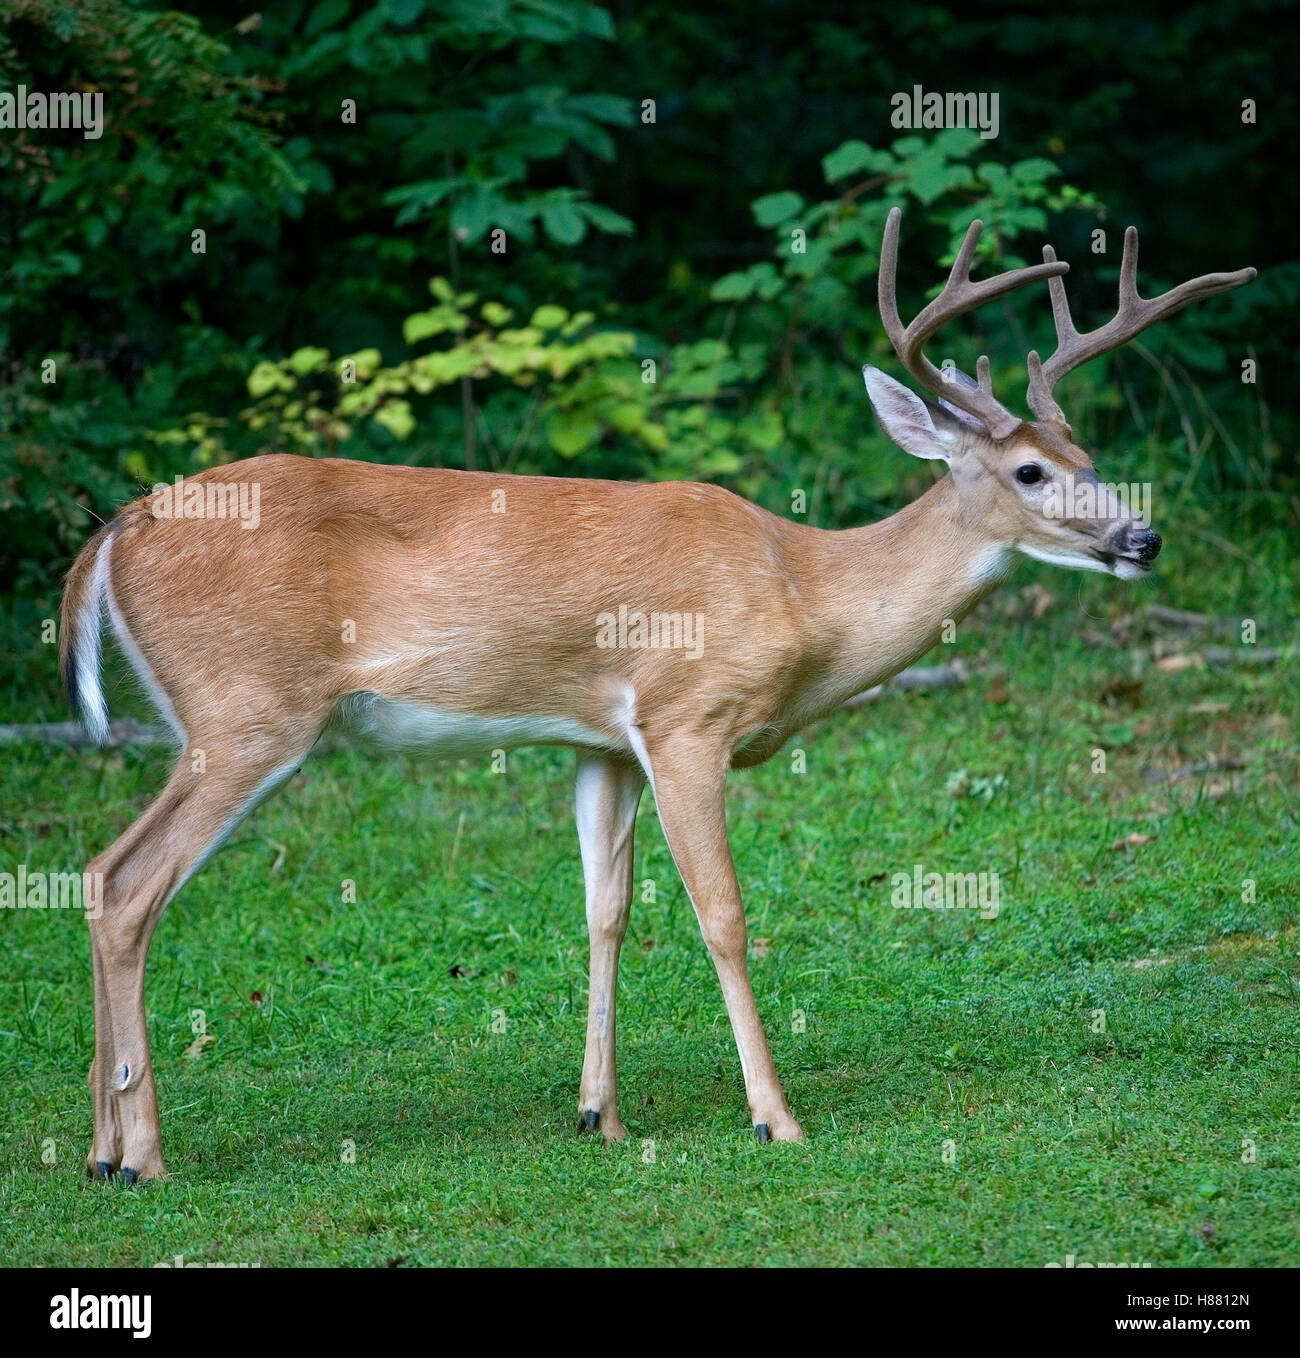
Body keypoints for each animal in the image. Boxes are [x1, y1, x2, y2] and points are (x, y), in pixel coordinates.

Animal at [60, 208, 1254, 1182]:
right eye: (1029, 473)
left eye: (1085, 450)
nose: (1142, 537)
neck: (801, 588)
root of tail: (111, 537)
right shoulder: (689, 717)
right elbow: (723, 914)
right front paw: (776, 1118)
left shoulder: (603, 740)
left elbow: (607, 909)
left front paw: (601, 1114)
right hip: (247, 709)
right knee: (125, 882)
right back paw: (144, 1156)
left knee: (98, 873)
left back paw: (98, 1149)